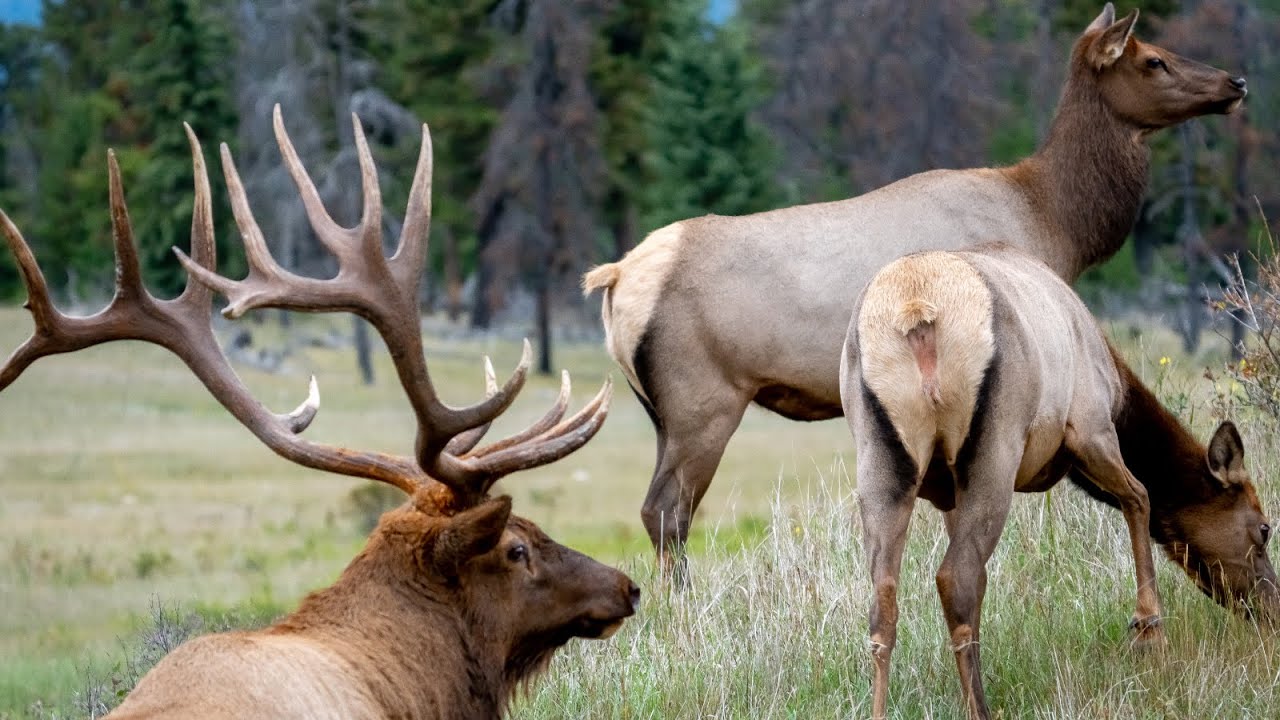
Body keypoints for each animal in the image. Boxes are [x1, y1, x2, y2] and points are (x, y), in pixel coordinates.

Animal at [581, 3, 1249, 580]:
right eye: (1154, 60)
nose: (1236, 81)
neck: (1053, 221)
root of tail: (614, 278)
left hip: (661, 410)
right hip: (704, 399)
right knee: (666, 510)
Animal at [843, 245, 1278, 720]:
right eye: (1264, 528)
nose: (1273, 607)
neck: (1119, 383)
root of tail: (918, 313)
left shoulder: (952, 497)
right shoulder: (1091, 428)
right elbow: (1141, 496)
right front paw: (1149, 630)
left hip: (881, 463)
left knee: (884, 602)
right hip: (996, 451)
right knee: (956, 577)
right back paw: (982, 709)